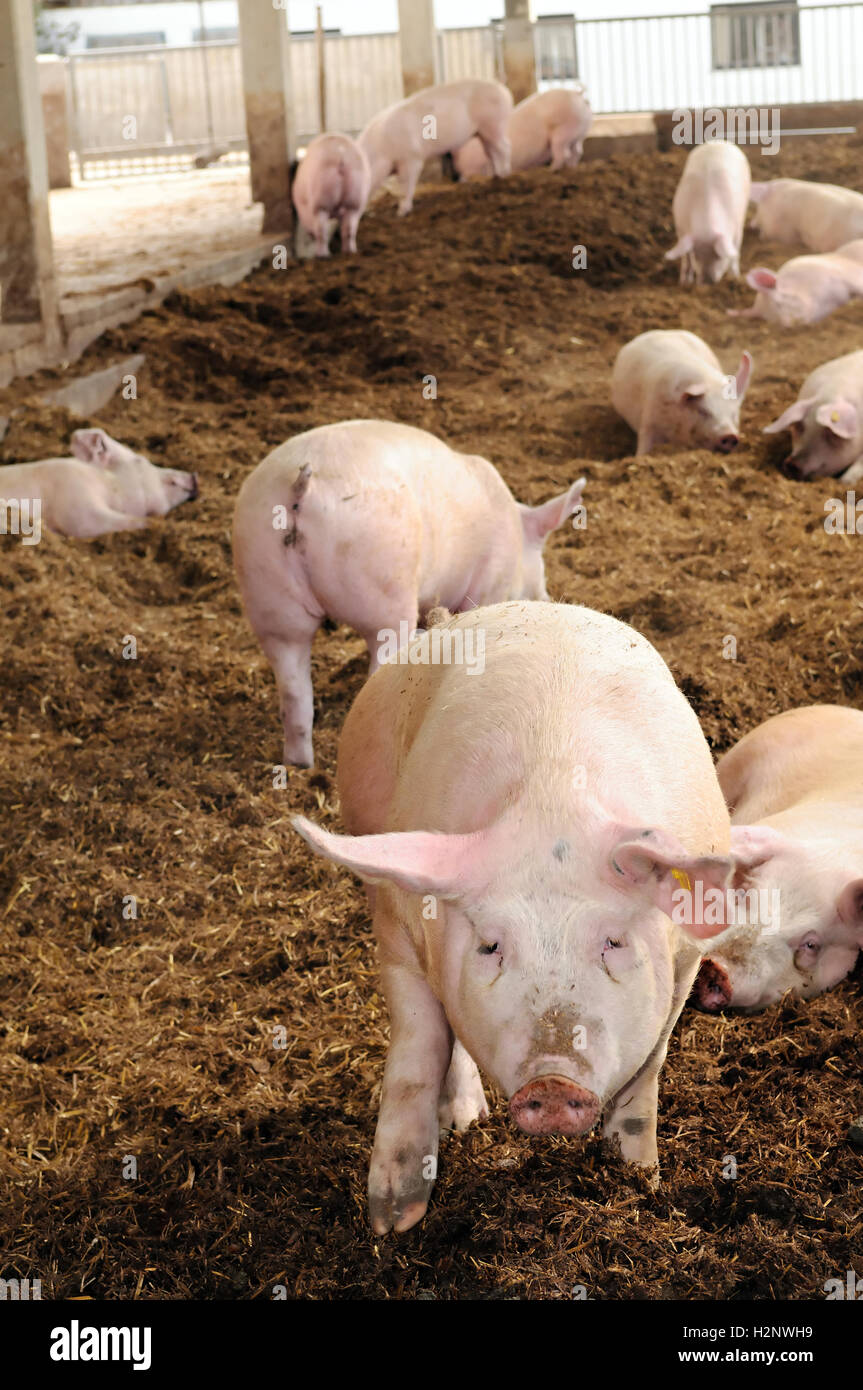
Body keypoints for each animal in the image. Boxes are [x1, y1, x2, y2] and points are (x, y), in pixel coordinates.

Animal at [232, 420, 585, 768]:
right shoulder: (489, 583)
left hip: (267, 587)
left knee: (294, 692)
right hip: (382, 583)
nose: (548, 598)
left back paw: (300, 765)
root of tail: (301, 485)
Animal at [292, 600, 734, 1233]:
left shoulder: (686, 960)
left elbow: (649, 1067)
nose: (551, 1080)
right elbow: (418, 1051)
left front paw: (639, 1179)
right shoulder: (398, 924)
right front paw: (392, 1222)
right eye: (490, 945)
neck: (553, 800)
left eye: (614, 941)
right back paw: (466, 1123)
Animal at [358, 78, 512, 216]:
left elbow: (405, 186)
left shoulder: (412, 158)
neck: (381, 150)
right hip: (483, 132)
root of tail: (503, 90)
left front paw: (401, 213)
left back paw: (504, 175)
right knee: (491, 152)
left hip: (494, 125)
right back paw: (496, 176)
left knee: (505, 147)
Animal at [453, 87, 592, 180]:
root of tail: (576, 94)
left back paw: (550, 170)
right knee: (577, 152)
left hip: (563, 133)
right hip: (579, 134)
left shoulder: (473, 168)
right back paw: (571, 168)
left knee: (563, 154)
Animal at [665, 140, 751, 285]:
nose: (707, 282)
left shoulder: (738, 229)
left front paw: (735, 278)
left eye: (719, 256)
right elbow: (686, 256)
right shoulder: (680, 228)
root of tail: (718, 142)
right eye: (697, 255)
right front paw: (684, 282)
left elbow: (734, 253)